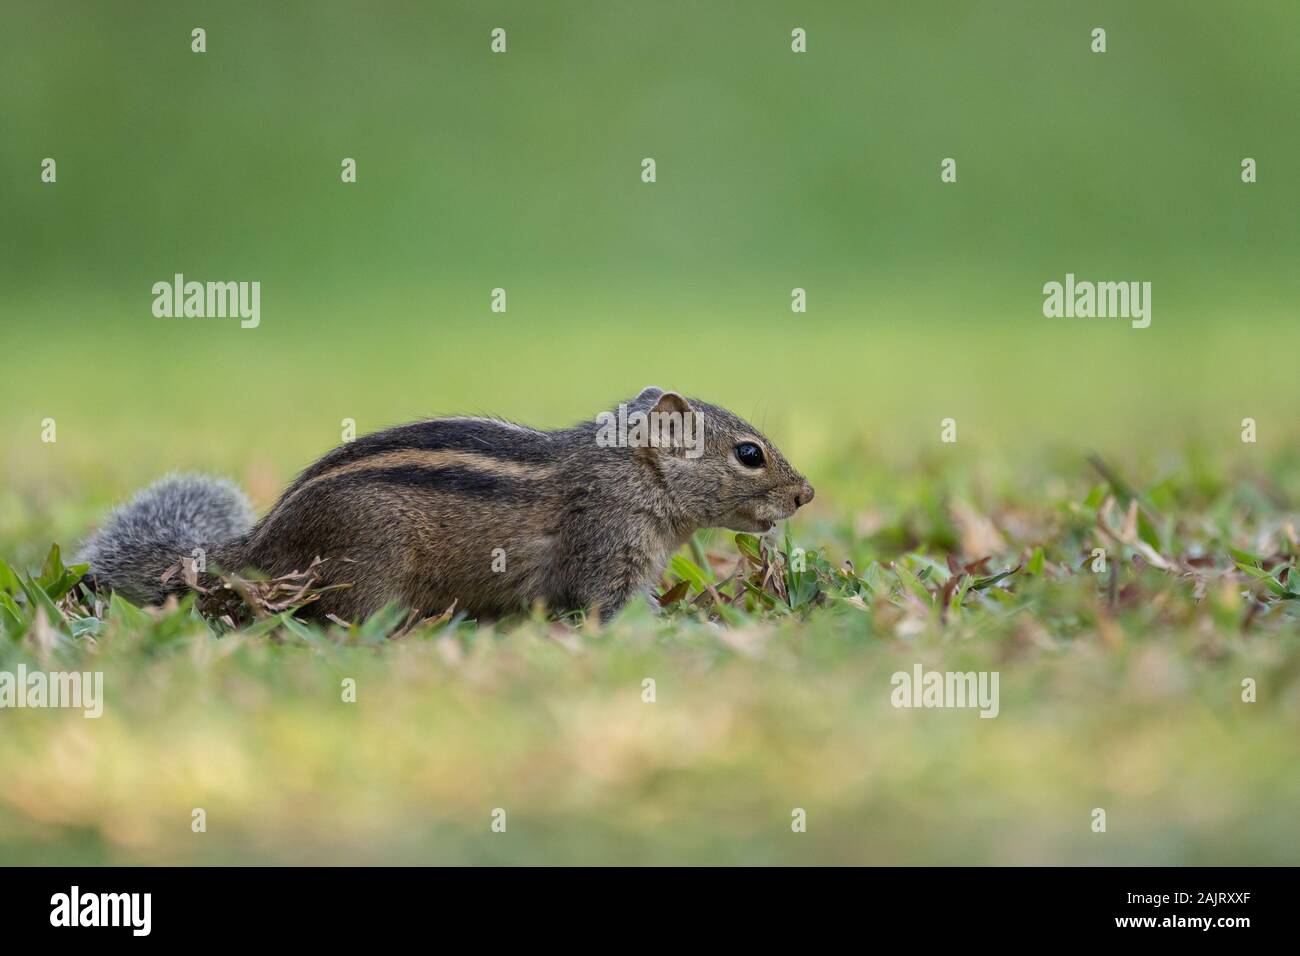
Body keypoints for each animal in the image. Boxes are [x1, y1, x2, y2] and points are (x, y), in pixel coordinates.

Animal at [78, 387, 814, 622]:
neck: (633, 472)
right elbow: (610, 608)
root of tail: (257, 547)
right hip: (369, 565)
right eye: (750, 454)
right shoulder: (607, 549)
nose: (806, 493)